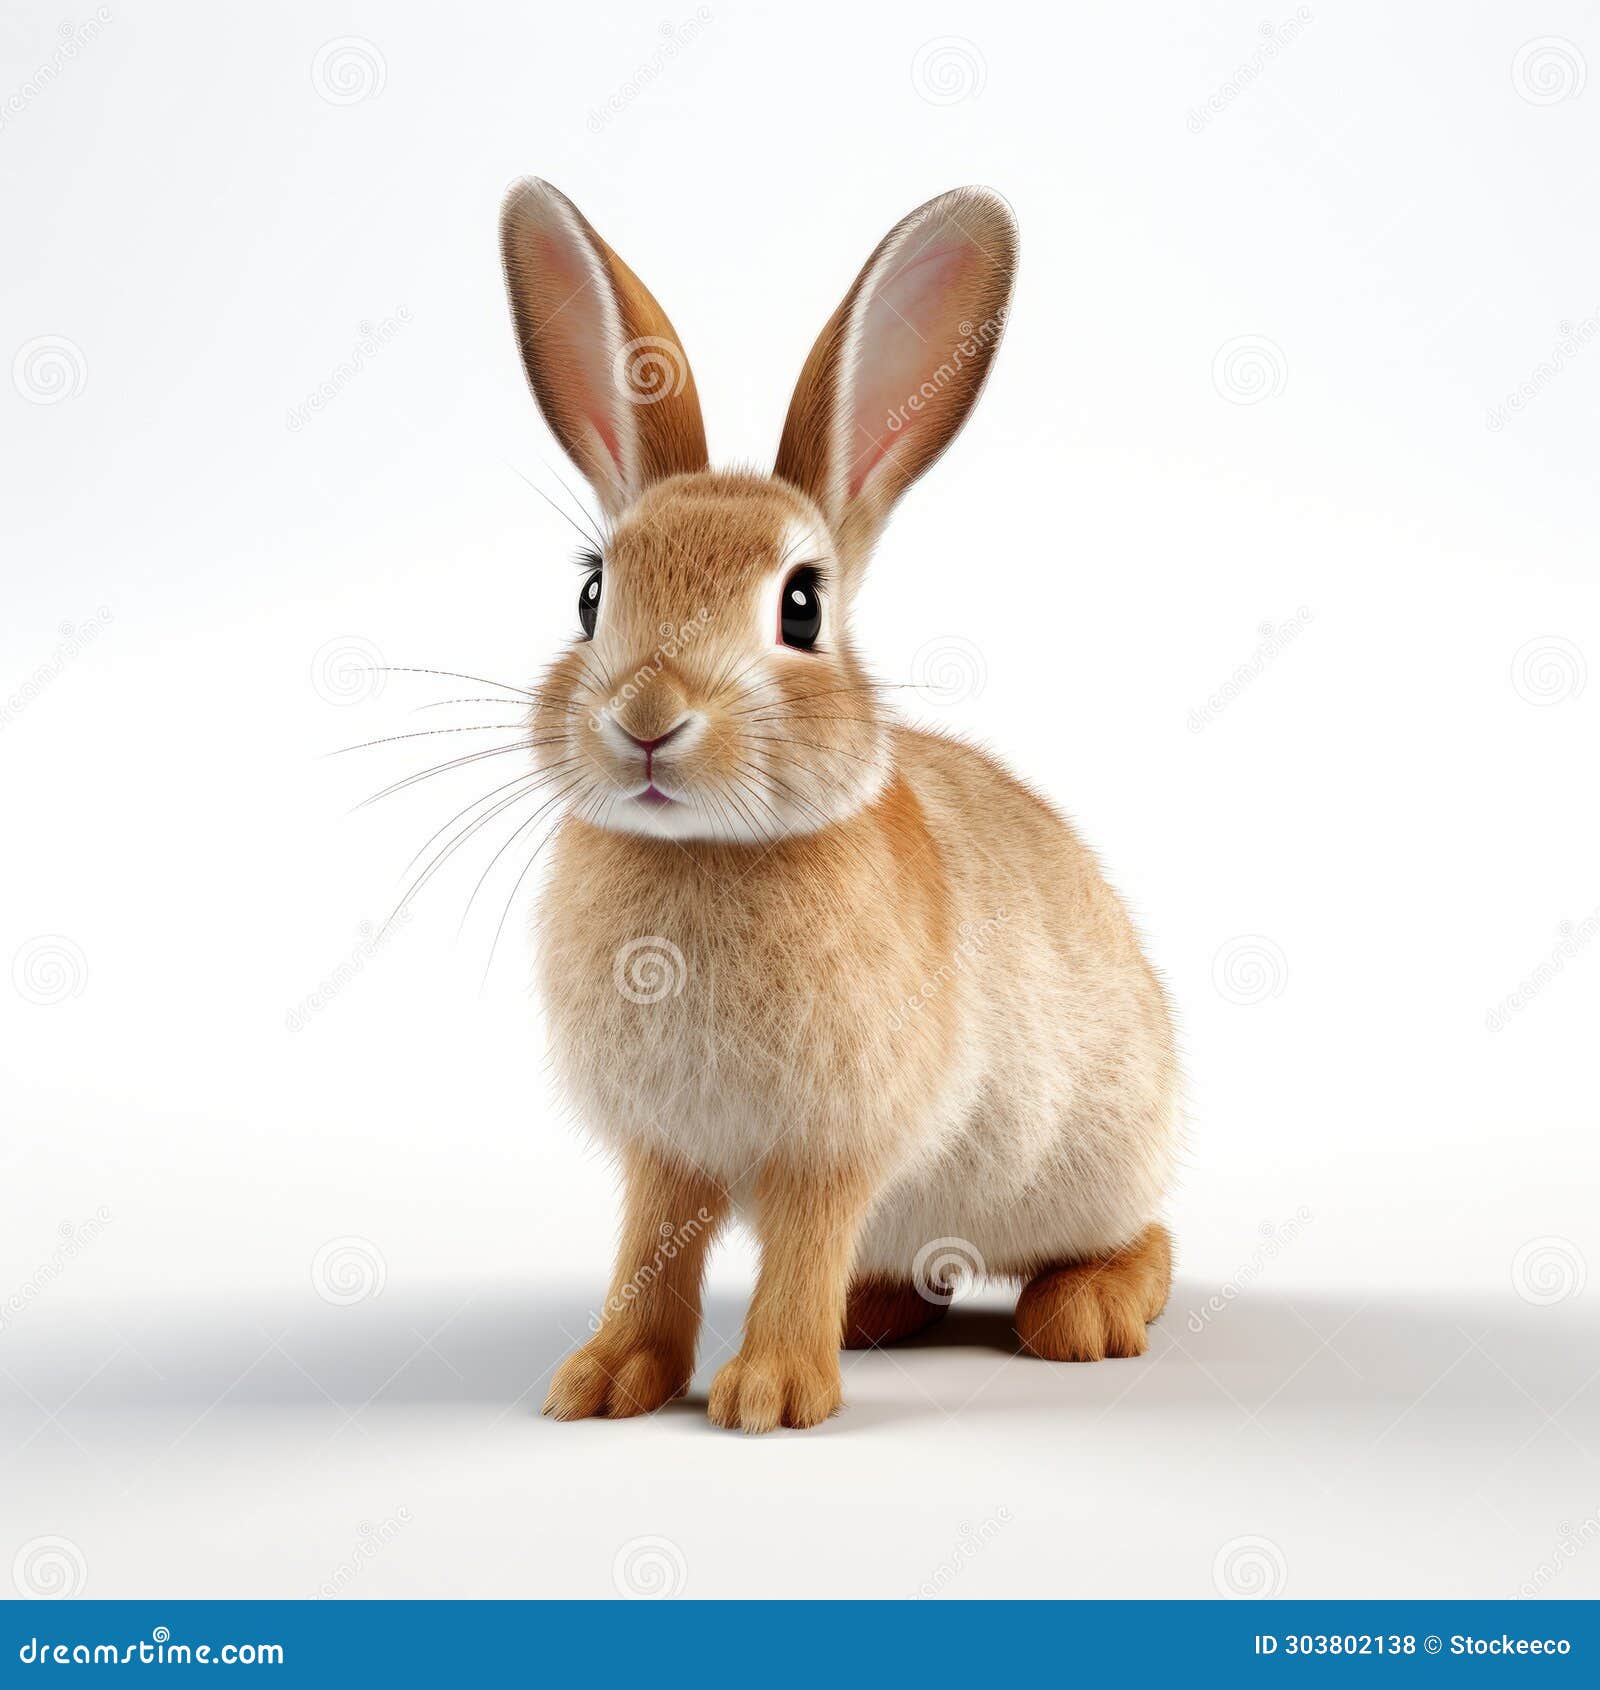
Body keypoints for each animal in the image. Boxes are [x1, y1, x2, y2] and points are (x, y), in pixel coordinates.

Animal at [499, 178, 1179, 1433]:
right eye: (591, 594)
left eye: (802, 606)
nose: (649, 716)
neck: (706, 850)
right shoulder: (665, 1151)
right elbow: (649, 1255)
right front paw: (604, 1378)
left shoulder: (830, 1146)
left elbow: (802, 1247)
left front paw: (768, 1393)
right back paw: (875, 1313)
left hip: (1095, 1159)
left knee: (1139, 1237)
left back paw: (1084, 1313)